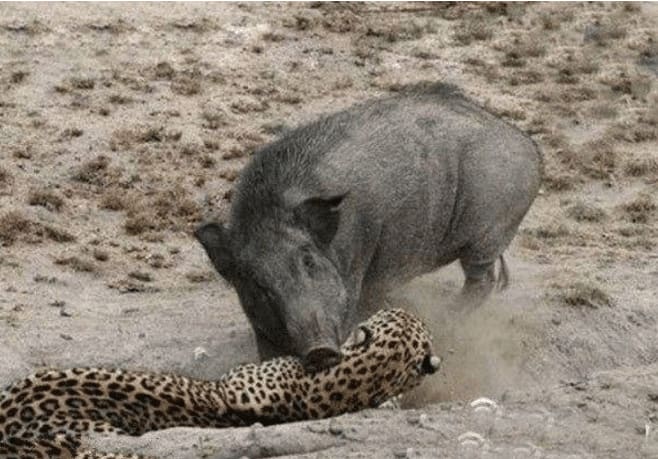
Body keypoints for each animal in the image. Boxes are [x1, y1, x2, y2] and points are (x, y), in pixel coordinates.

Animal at [195, 83, 542, 371]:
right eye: (256, 282)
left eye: (309, 261)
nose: (319, 350)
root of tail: (531, 147)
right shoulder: (261, 326)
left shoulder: (354, 274)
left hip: (487, 230)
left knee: (481, 282)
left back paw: (446, 318)